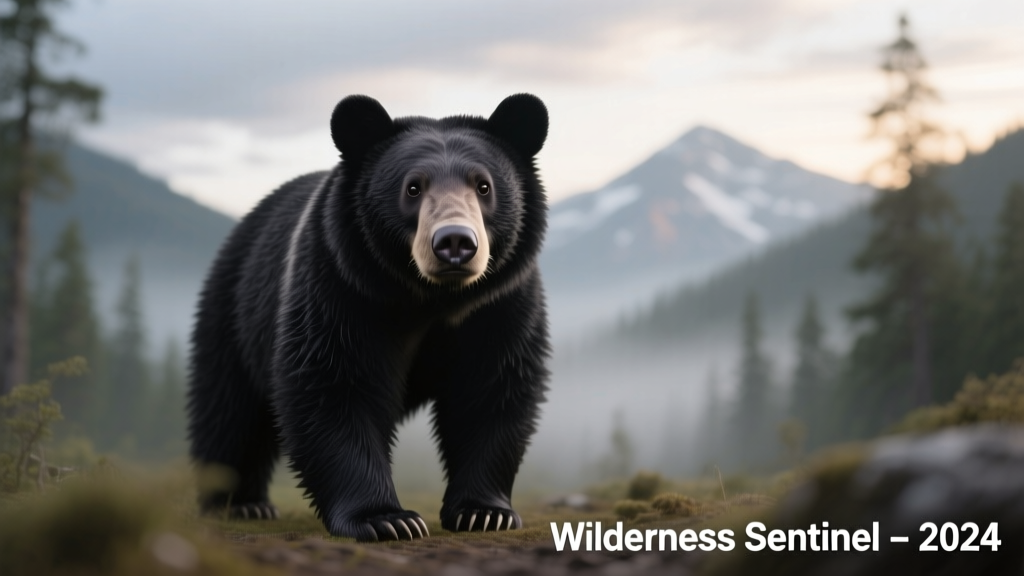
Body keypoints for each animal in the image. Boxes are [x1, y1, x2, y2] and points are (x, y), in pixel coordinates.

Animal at [187, 94, 551, 542]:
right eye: (412, 187)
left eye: (483, 185)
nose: (454, 242)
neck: (431, 299)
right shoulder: (342, 287)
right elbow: (335, 386)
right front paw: (387, 519)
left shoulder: (499, 304)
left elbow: (489, 389)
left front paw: (483, 512)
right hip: (235, 311)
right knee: (230, 409)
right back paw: (239, 503)